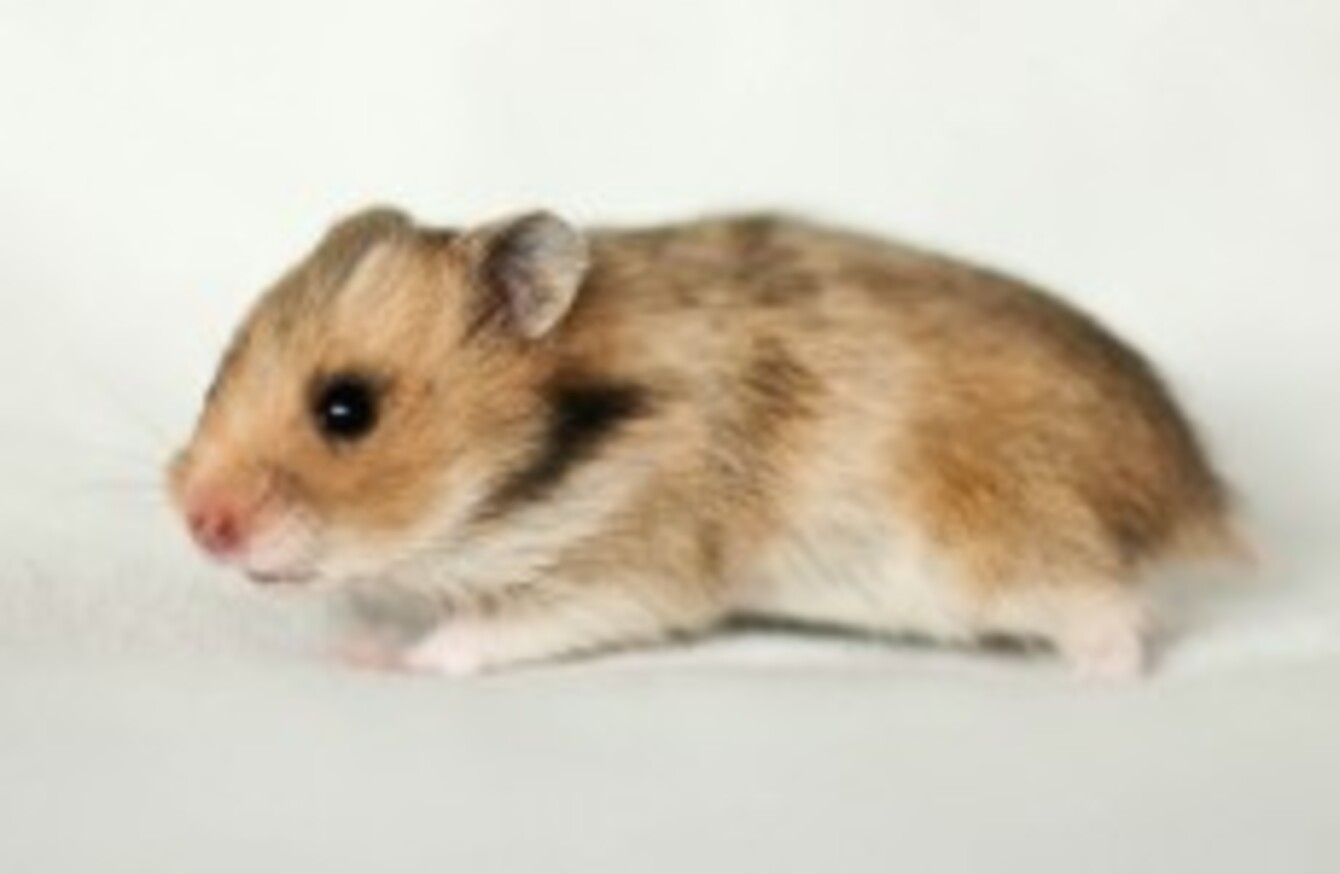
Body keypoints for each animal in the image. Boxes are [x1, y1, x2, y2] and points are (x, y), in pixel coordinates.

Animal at [168, 207, 1242, 678]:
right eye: (217, 370)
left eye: (346, 409)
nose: (197, 524)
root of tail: (1200, 493)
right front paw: (357, 638)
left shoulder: (633, 570)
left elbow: (489, 630)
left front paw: (387, 659)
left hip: (1012, 547)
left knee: (1113, 610)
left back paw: (1098, 674)